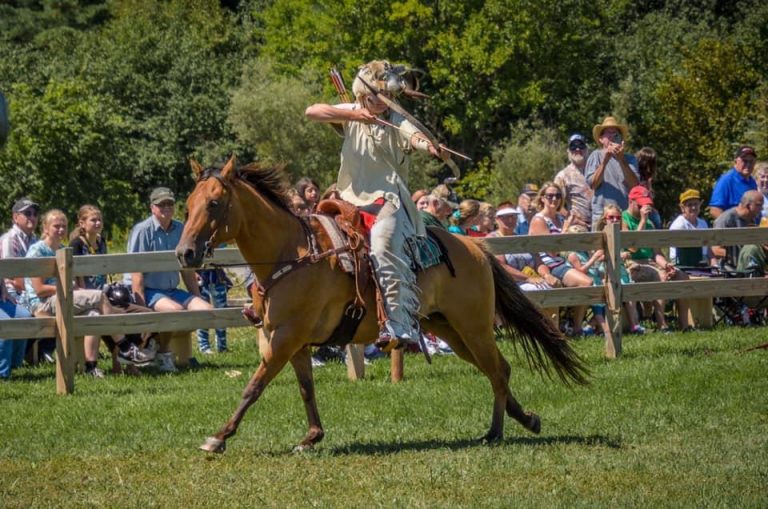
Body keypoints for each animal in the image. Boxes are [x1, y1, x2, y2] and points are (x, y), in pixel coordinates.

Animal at [176, 156, 589, 453]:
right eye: (188, 204)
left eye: (214, 203)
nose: (185, 253)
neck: (291, 254)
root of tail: (475, 248)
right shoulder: (292, 342)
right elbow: (306, 388)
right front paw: (312, 436)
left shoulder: (284, 340)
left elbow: (253, 386)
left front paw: (218, 437)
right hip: (451, 330)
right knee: (494, 370)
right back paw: (526, 420)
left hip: (473, 327)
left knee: (498, 369)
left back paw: (496, 431)